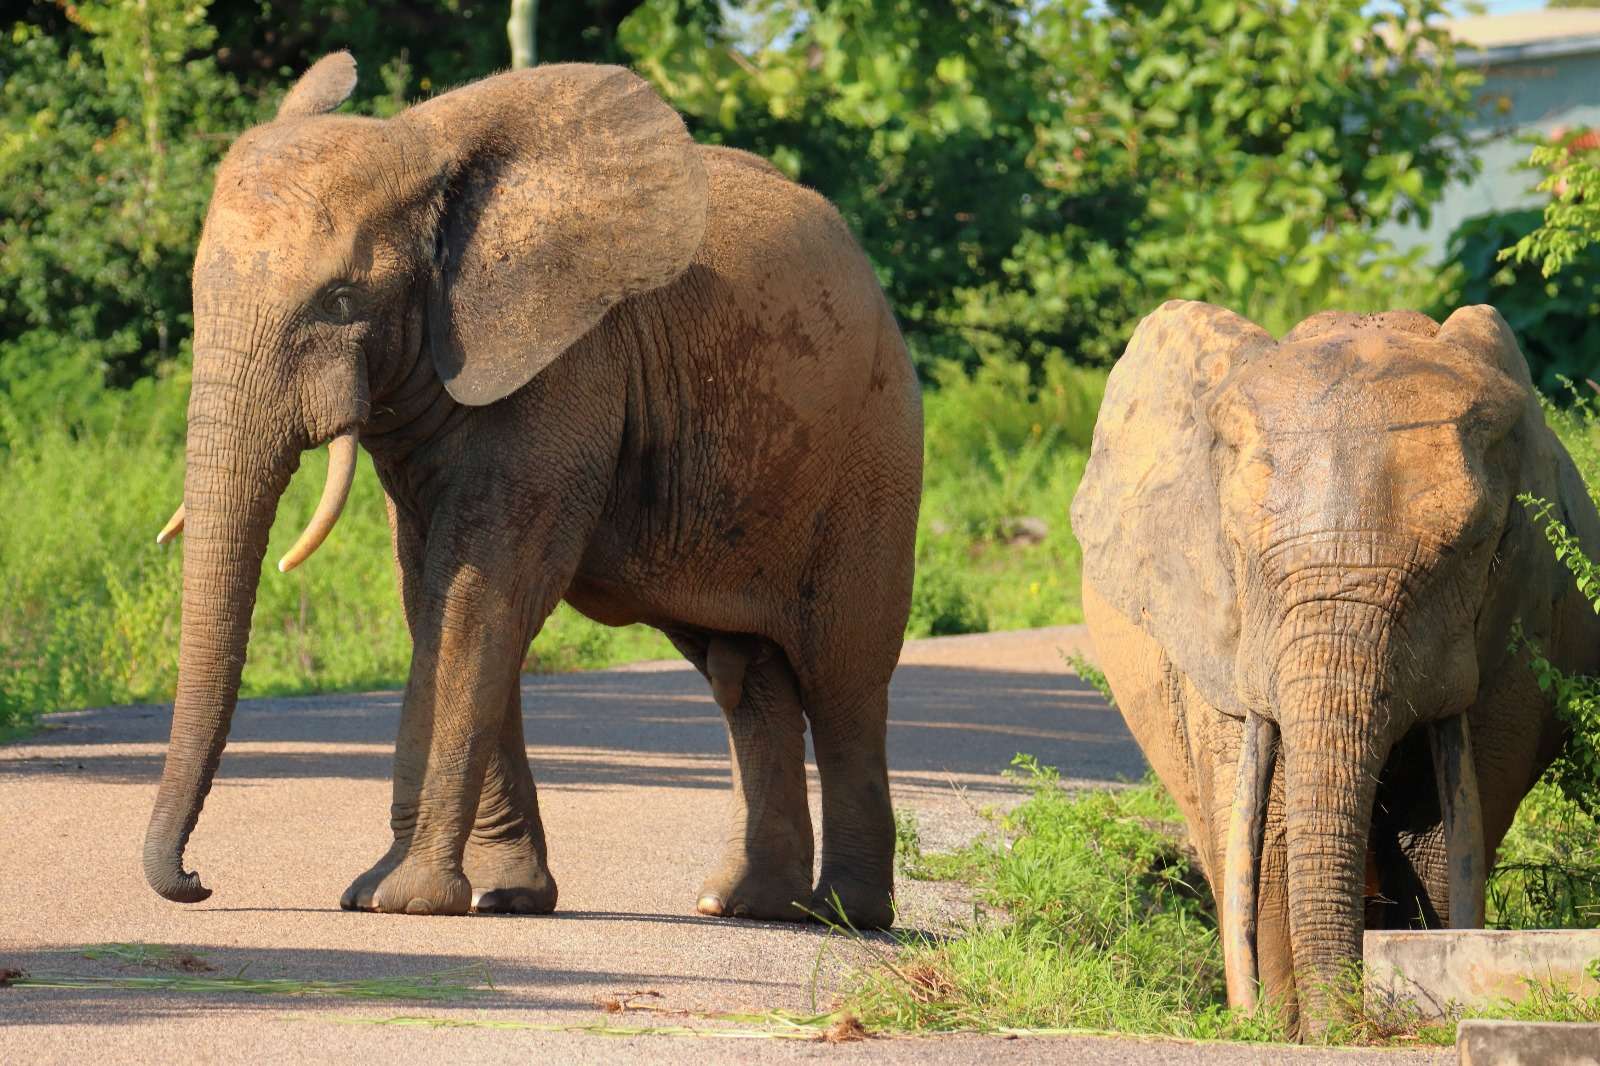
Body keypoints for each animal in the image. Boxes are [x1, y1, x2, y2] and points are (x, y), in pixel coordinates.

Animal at [144, 53, 923, 928]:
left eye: (341, 300)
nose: (198, 881)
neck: (425, 152)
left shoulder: (571, 367)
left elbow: (479, 593)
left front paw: (398, 901)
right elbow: (436, 592)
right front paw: (499, 897)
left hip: (875, 448)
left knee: (843, 675)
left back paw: (848, 915)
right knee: (744, 676)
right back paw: (745, 905)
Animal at [1070, 301, 1600, 1034]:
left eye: (1471, 549)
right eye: (1235, 548)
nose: (1346, 1022)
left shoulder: (1517, 635)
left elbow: (1436, 843)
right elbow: (1269, 845)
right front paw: (1282, 1032)